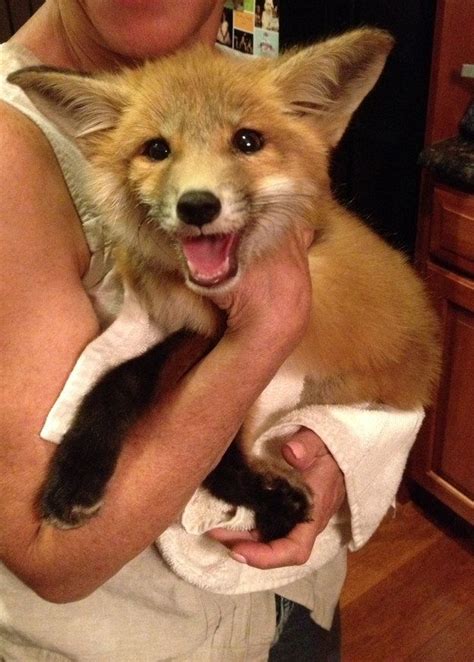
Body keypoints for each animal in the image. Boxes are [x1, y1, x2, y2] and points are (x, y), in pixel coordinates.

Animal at [9, 28, 440, 540]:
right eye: (157, 149)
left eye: (247, 141)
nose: (197, 205)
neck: (209, 302)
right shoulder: (206, 340)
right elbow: (123, 378)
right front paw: (76, 474)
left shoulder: (232, 344)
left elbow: (134, 379)